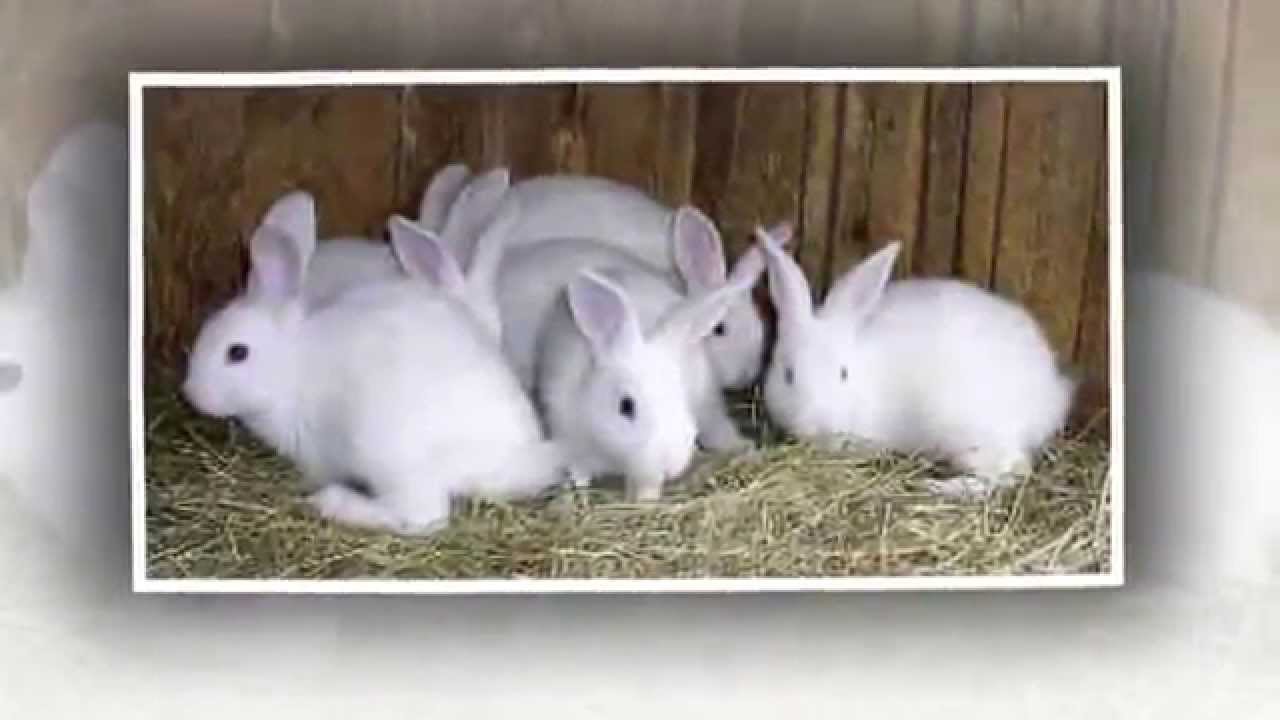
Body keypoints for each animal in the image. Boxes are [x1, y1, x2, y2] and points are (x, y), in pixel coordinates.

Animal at [181, 190, 566, 536]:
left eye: (237, 353)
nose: (192, 394)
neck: (291, 366)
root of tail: (516, 459)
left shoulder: (317, 452)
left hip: (392, 457)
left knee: (424, 518)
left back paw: (334, 504)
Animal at [755, 225, 1078, 499]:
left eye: (844, 374)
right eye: (788, 375)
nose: (821, 425)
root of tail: (1051, 394)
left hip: (970, 432)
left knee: (1010, 471)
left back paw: (939, 487)